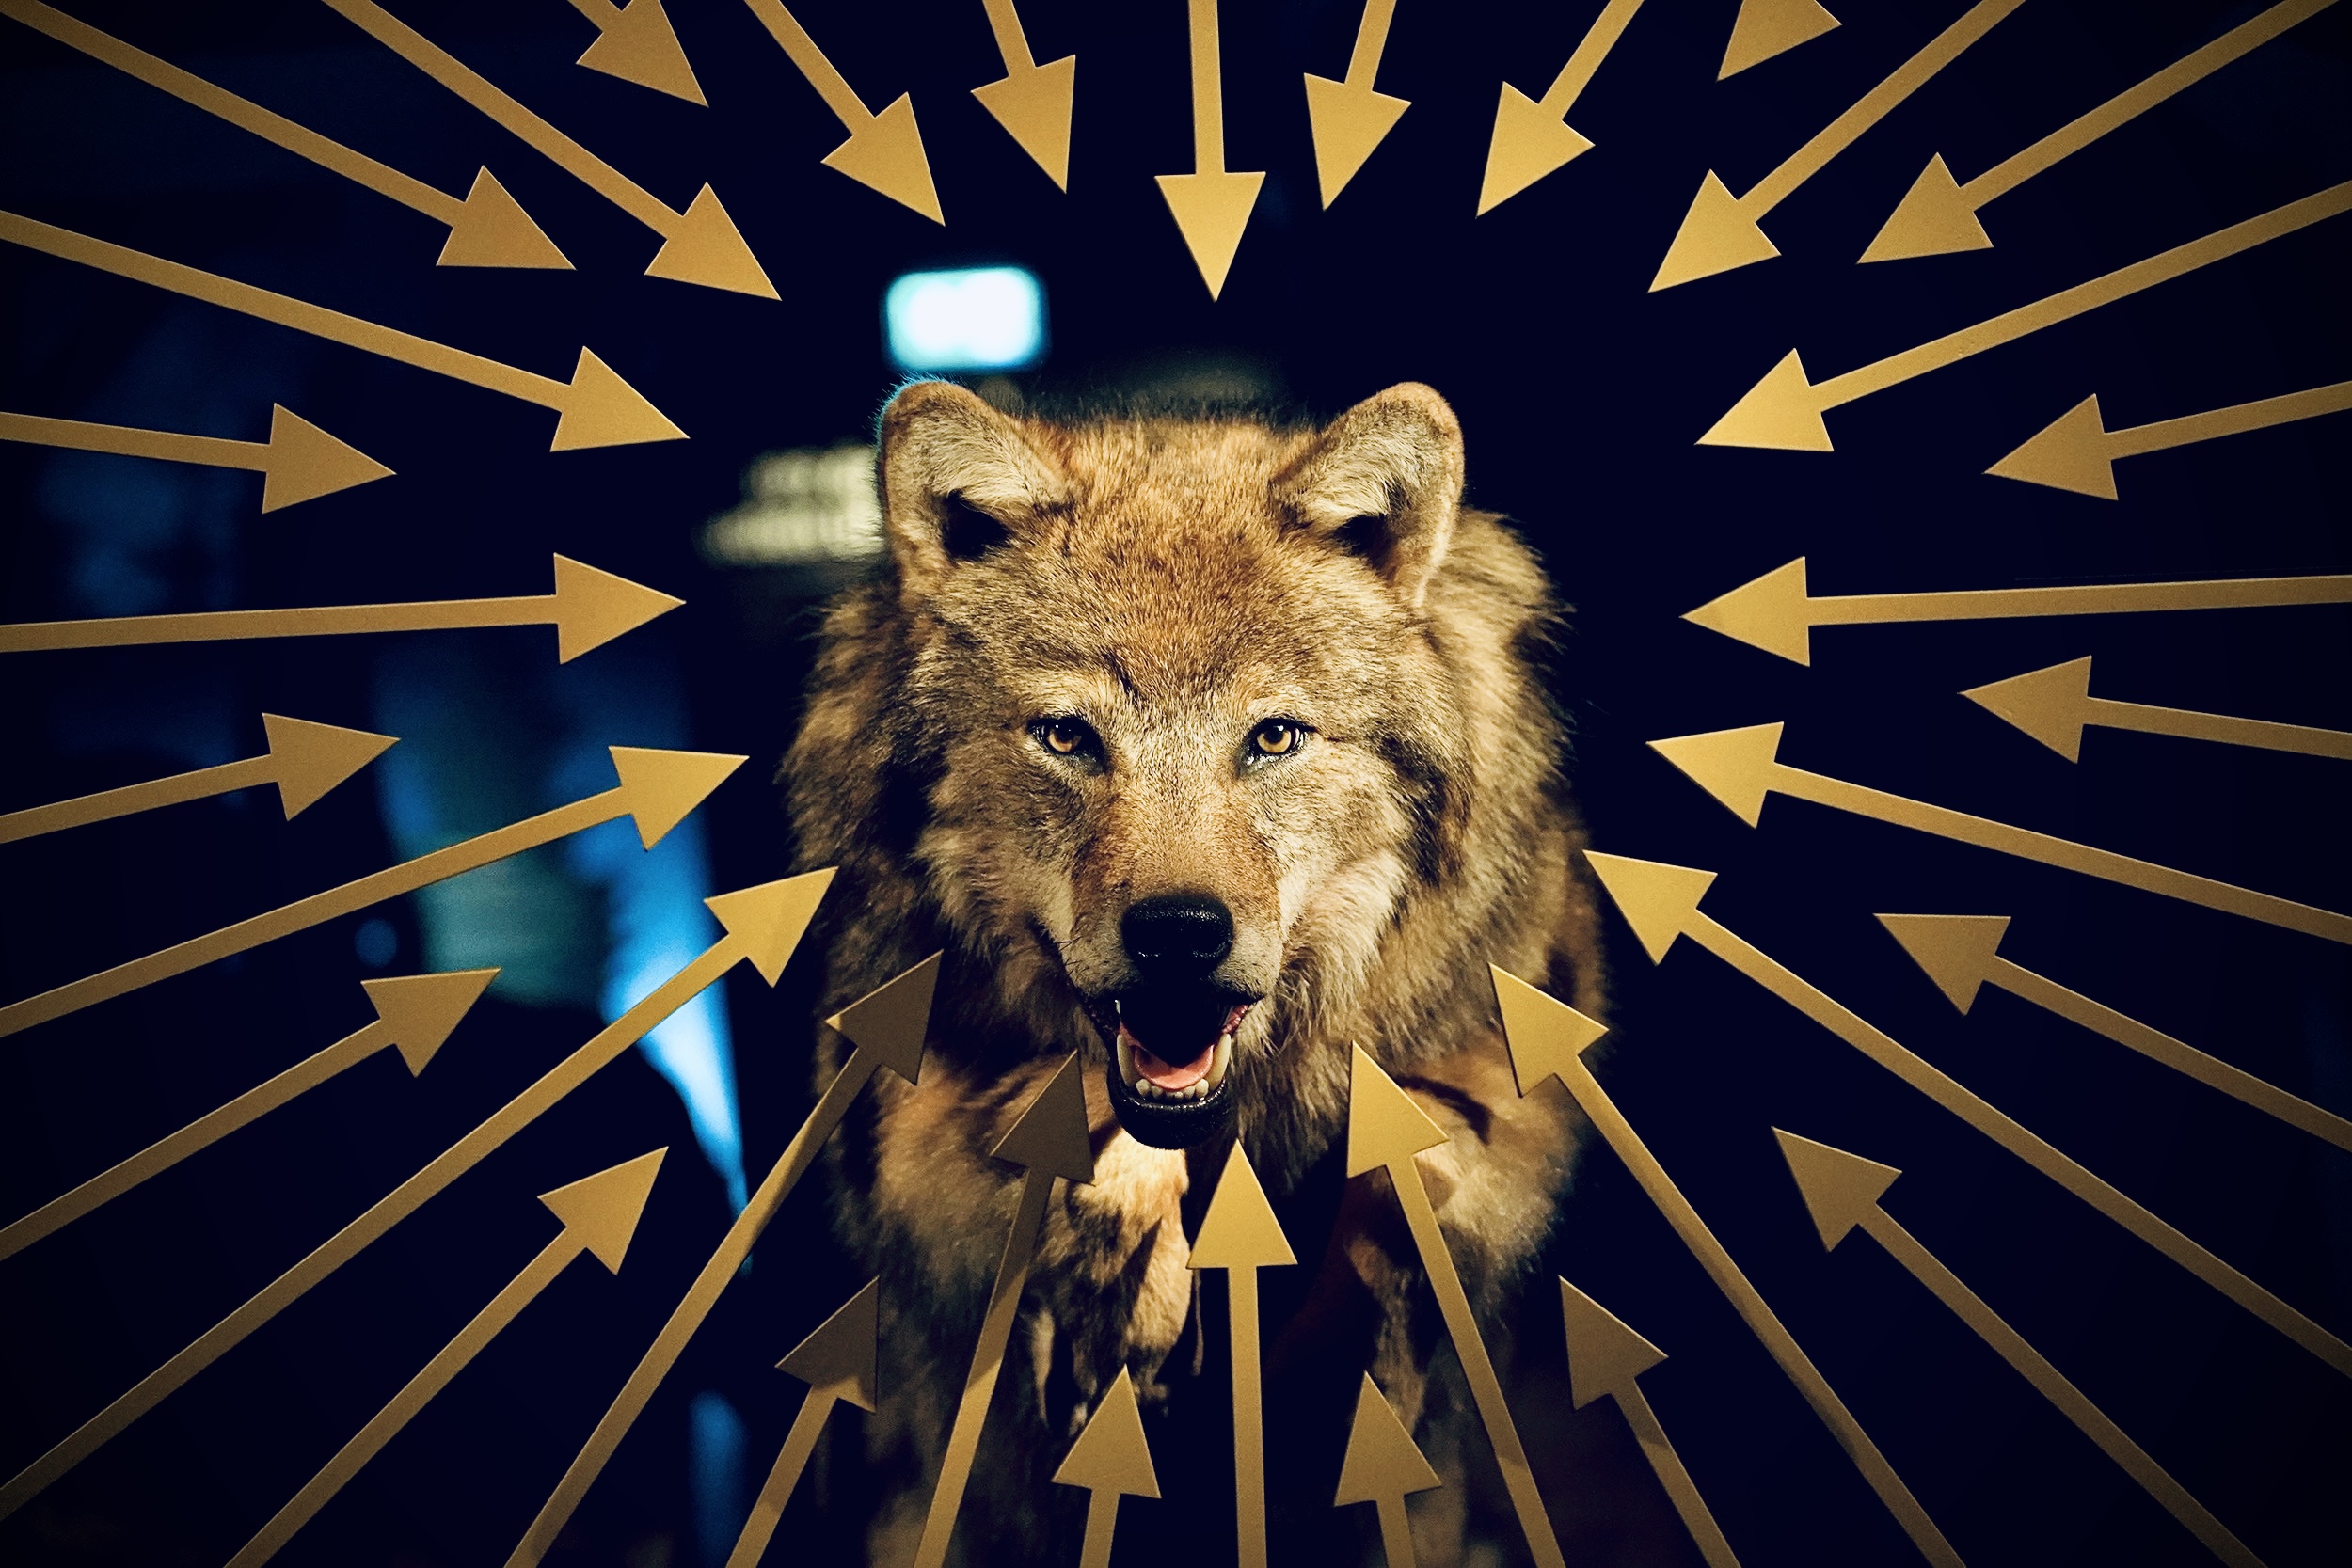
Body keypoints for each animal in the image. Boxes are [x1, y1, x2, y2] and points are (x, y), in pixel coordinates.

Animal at [783, 379, 1609, 1564]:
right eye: (1066, 737)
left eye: (1273, 737)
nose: (1178, 930)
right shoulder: (908, 1129)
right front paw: (1122, 1285)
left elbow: (1427, 1160)